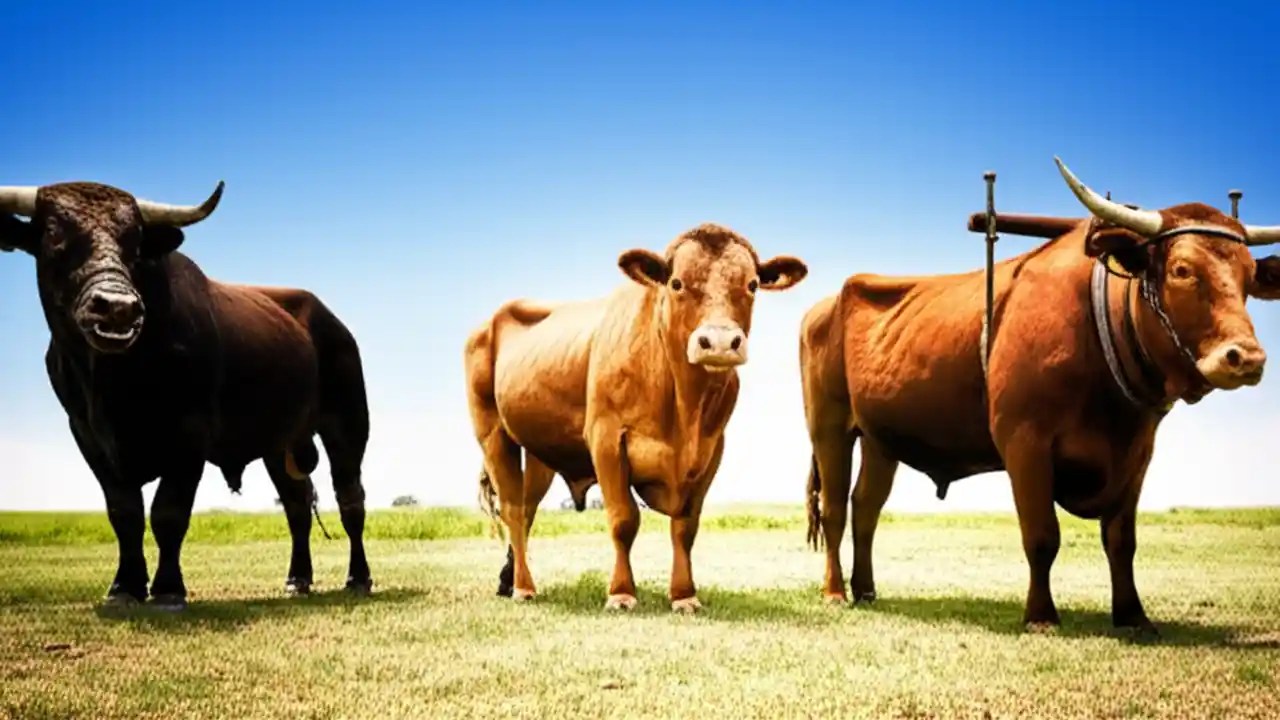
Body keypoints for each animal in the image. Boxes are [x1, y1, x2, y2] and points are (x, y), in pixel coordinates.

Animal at [0, 181, 373, 610]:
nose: (117, 308)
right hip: (279, 445)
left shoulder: (190, 436)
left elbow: (168, 512)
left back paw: (358, 577)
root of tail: (333, 322)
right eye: (53, 235)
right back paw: (298, 579)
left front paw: (167, 589)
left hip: (347, 425)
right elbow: (124, 514)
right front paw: (124, 587)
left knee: (350, 500)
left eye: (136, 241)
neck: (114, 380)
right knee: (297, 504)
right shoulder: (87, 436)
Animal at [465, 223, 807, 612]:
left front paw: (684, 595)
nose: (719, 343)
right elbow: (624, 519)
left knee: (526, 511)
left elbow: (685, 527)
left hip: (540, 451)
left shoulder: (712, 449)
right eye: (676, 283)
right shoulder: (606, 439)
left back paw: (509, 581)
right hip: (493, 434)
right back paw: (524, 588)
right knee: (512, 509)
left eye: (751, 285)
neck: (683, 408)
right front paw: (621, 593)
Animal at [801, 158, 1280, 633]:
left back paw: (866, 590)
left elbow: (1121, 540)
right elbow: (1042, 534)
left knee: (866, 506)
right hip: (829, 428)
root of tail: (828, 301)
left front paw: (1133, 616)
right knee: (835, 509)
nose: (1246, 357)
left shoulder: (1138, 453)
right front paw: (1041, 615)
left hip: (881, 440)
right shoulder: (1024, 442)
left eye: (1249, 277)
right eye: (1182, 270)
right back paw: (835, 592)